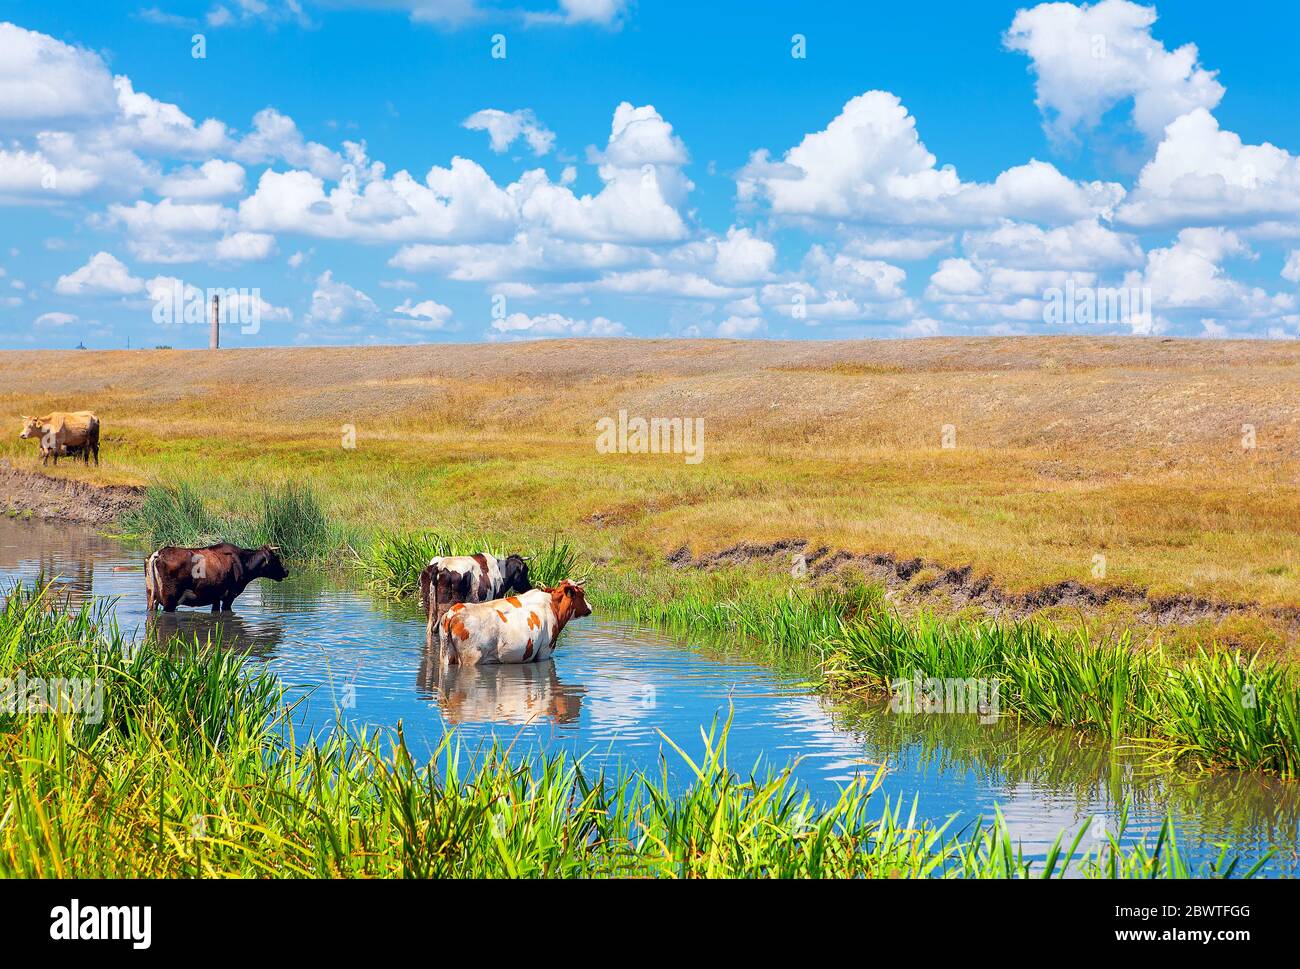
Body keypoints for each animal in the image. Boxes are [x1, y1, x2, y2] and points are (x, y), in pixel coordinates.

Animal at [145, 543, 289, 613]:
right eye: (276, 559)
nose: (286, 571)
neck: (243, 562)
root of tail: (159, 553)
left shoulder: (215, 597)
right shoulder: (230, 596)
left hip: (152, 597)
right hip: (170, 600)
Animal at [435, 580, 591, 666]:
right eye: (582, 593)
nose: (590, 607)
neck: (552, 606)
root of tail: (454, 611)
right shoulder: (545, 650)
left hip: (446, 656)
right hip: (471, 657)